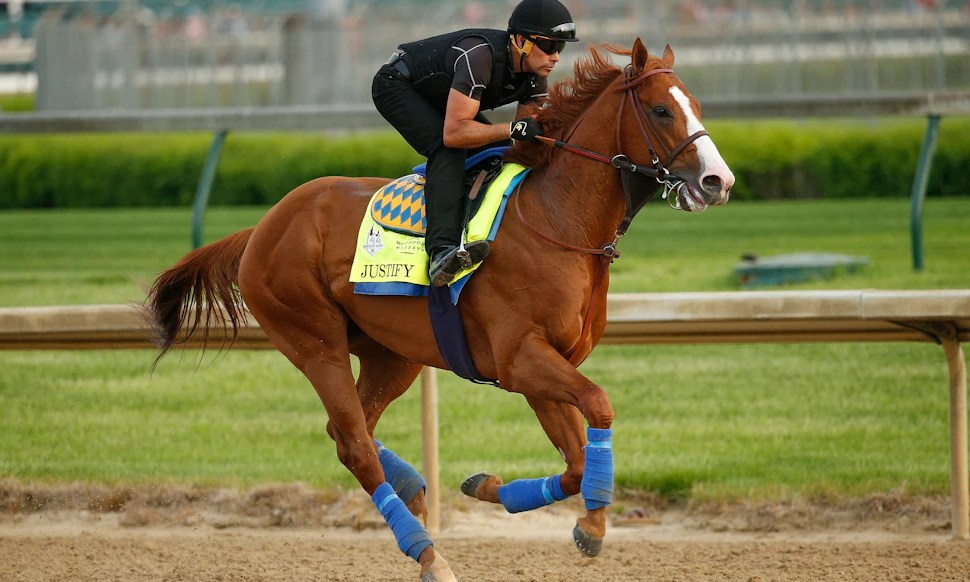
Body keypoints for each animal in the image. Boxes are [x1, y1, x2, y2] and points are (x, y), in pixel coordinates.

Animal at [144, 38, 735, 581]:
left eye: (696, 105)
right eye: (660, 110)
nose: (718, 181)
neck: (557, 220)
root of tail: (262, 227)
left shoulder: (540, 367)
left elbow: (574, 461)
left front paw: (495, 488)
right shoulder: (522, 359)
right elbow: (600, 405)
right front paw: (592, 524)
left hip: (392, 354)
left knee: (347, 430)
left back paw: (410, 485)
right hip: (314, 341)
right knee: (353, 444)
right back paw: (428, 554)